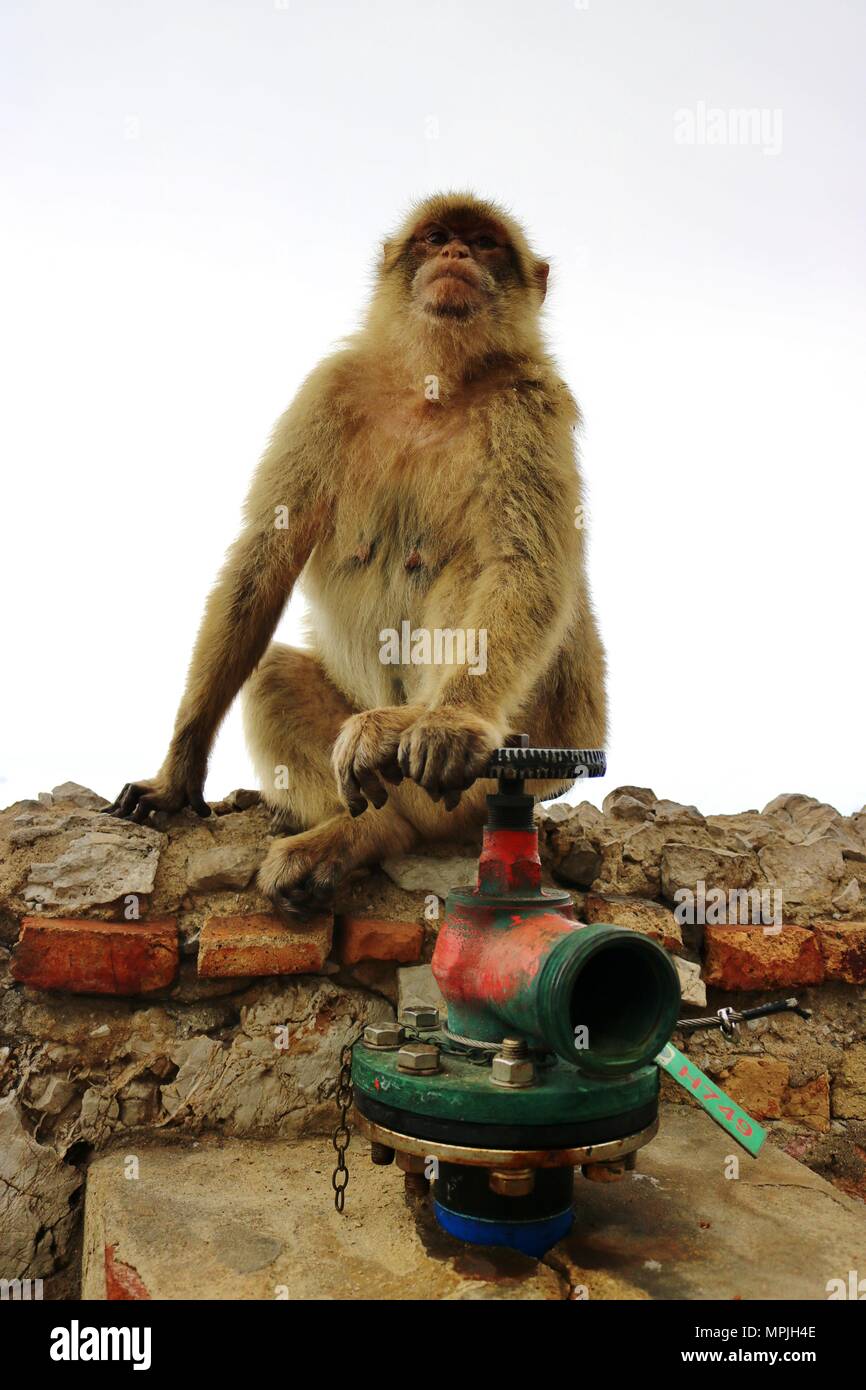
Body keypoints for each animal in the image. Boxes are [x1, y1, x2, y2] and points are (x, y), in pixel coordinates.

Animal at [105, 191, 607, 917]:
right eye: (437, 237)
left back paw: (406, 728)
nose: (457, 253)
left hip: (528, 755)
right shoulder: (329, 387)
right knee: (276, 677)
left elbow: (524, 566)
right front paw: (177, 773)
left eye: (485, 244)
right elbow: (262, 558)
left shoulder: (531, 402)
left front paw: (451, 721)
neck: (434, 383)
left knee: (472, 569)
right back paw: (369, 830)